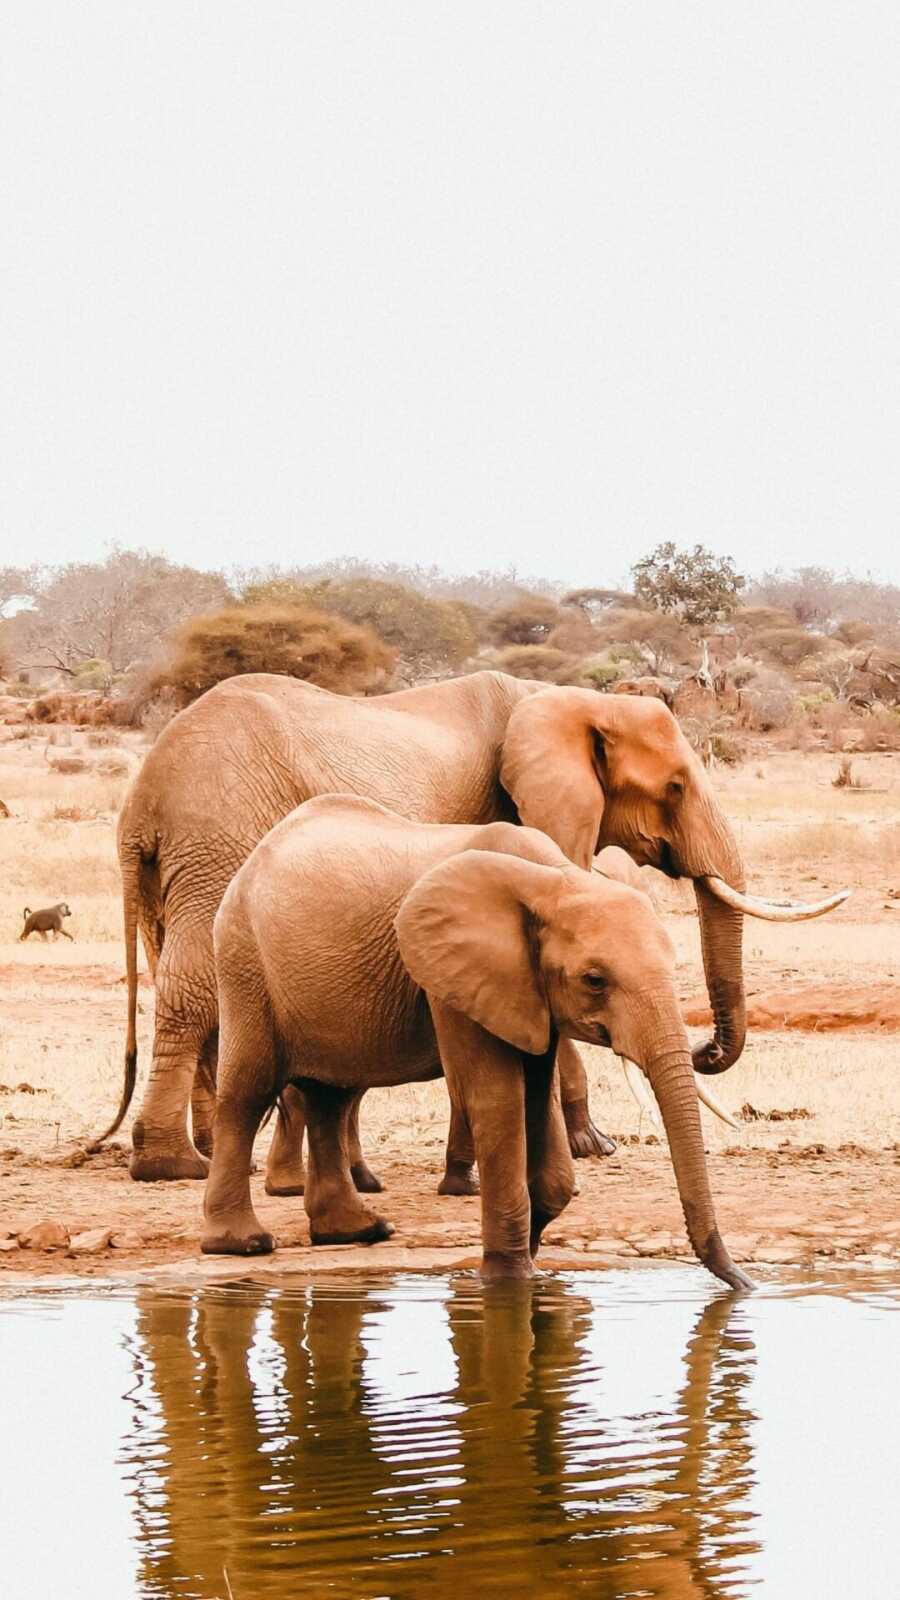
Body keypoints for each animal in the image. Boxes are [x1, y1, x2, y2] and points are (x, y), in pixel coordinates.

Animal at [99, 669, 845, 1184]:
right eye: (676, 788)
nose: (704, 1051)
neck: (563, 699)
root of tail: (141, 802)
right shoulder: (521, 820)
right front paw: (592, 1146)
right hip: (218, 838)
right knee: (193, 987)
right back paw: (174, 1166)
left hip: (183, 863)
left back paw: (220, 1155)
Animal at [201, 793, 754, 1291]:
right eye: (595, 981)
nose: (743, 1284)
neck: (554, 880)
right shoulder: (451, 975)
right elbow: (497, 1098)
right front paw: (508, 1280)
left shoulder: (527, 990)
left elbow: (539, 1099)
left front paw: (533, 1256)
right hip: (245, 961)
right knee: (248, 1092)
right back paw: (241, 1243)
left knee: (329, 1098)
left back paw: (356, 1233)